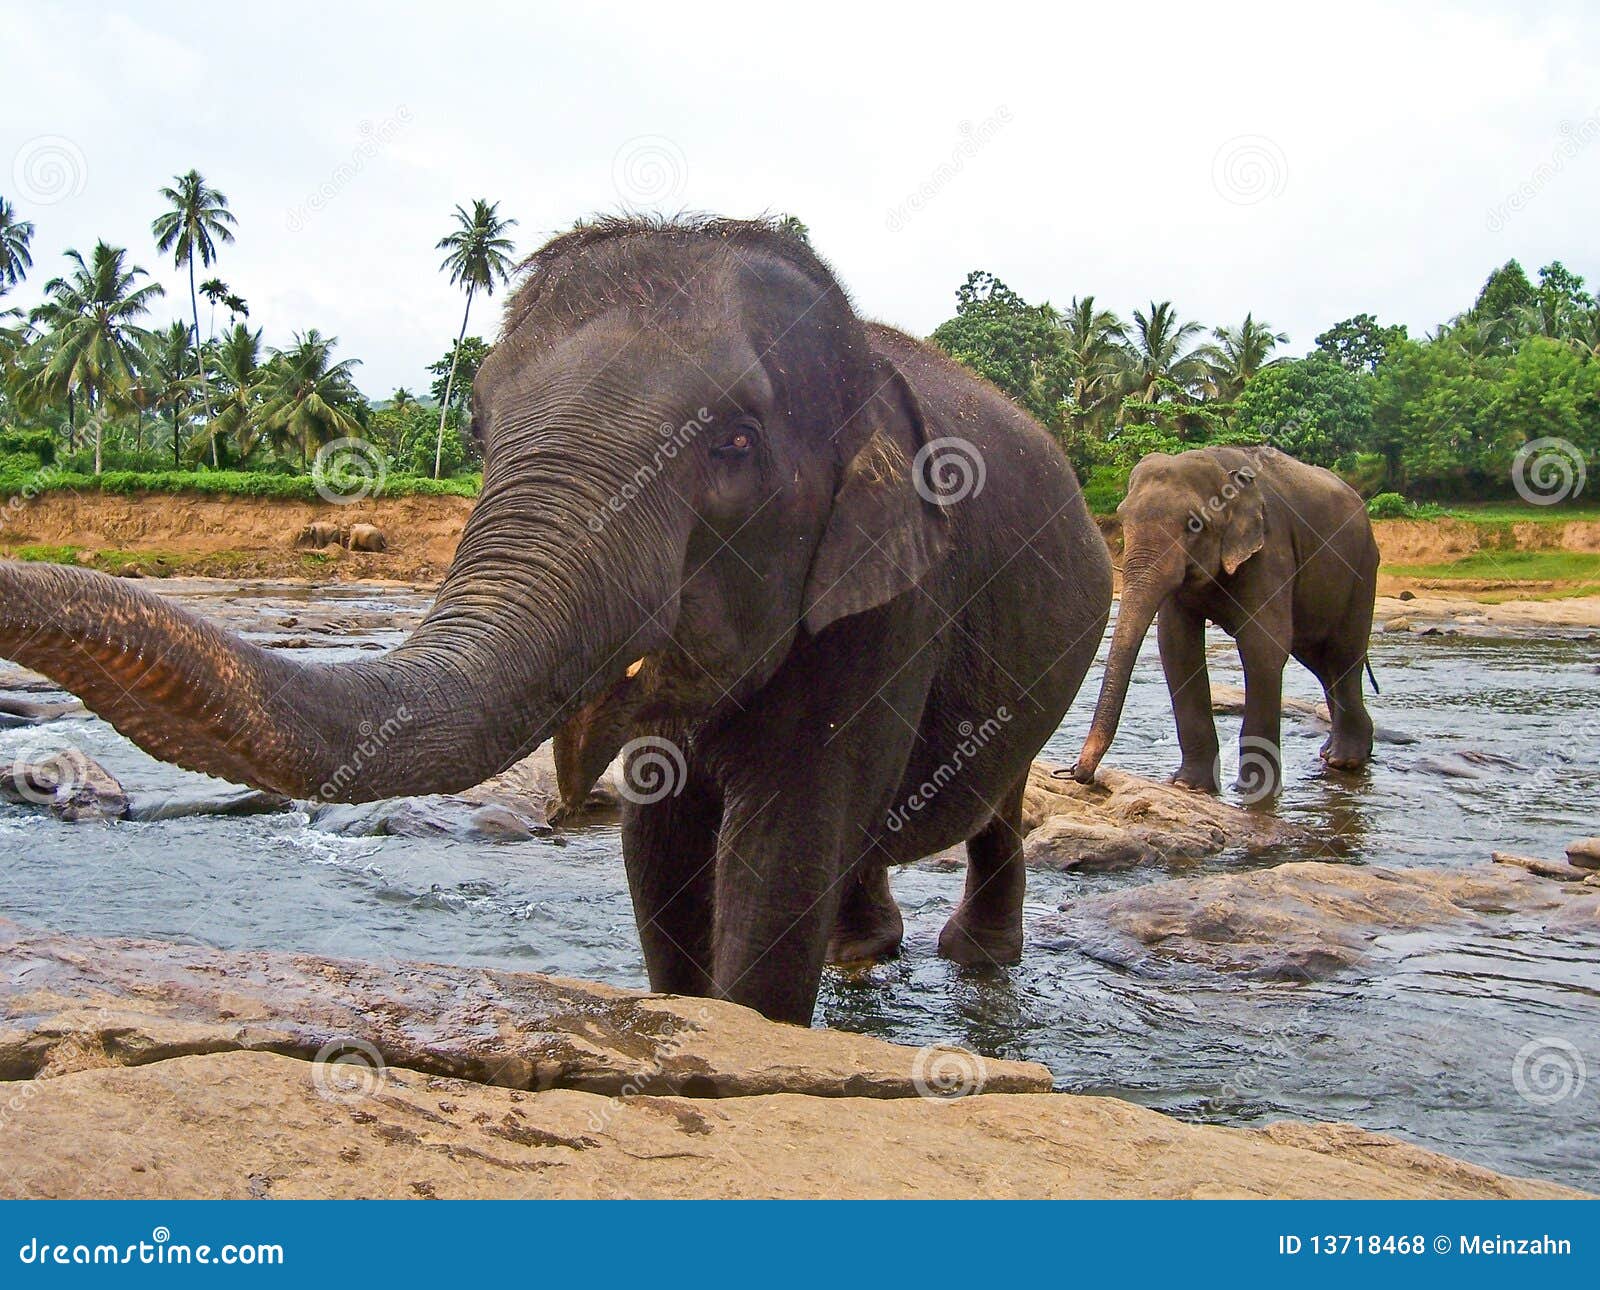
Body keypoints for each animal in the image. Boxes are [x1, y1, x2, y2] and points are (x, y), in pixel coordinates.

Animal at [0, 216, 1112, 1026]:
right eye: (479, 428)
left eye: (736, 443)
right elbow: (659, 838)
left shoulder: (894, 605)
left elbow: (785, 837)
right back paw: (862, 952)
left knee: (996, 801)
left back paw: (973, 960)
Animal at [1071, 444, 1378, 796]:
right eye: (1122, 518)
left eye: (1194, 524)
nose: (1079, 774)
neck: (1219, 466)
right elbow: (1177, 647)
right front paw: (1188, 784)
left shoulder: (1270, 551)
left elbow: (1263, 647)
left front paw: (1252, 791)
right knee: (1322, 662)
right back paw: (1335, 753)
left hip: (1362, 570)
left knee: (1343, 656)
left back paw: (1344, 759)